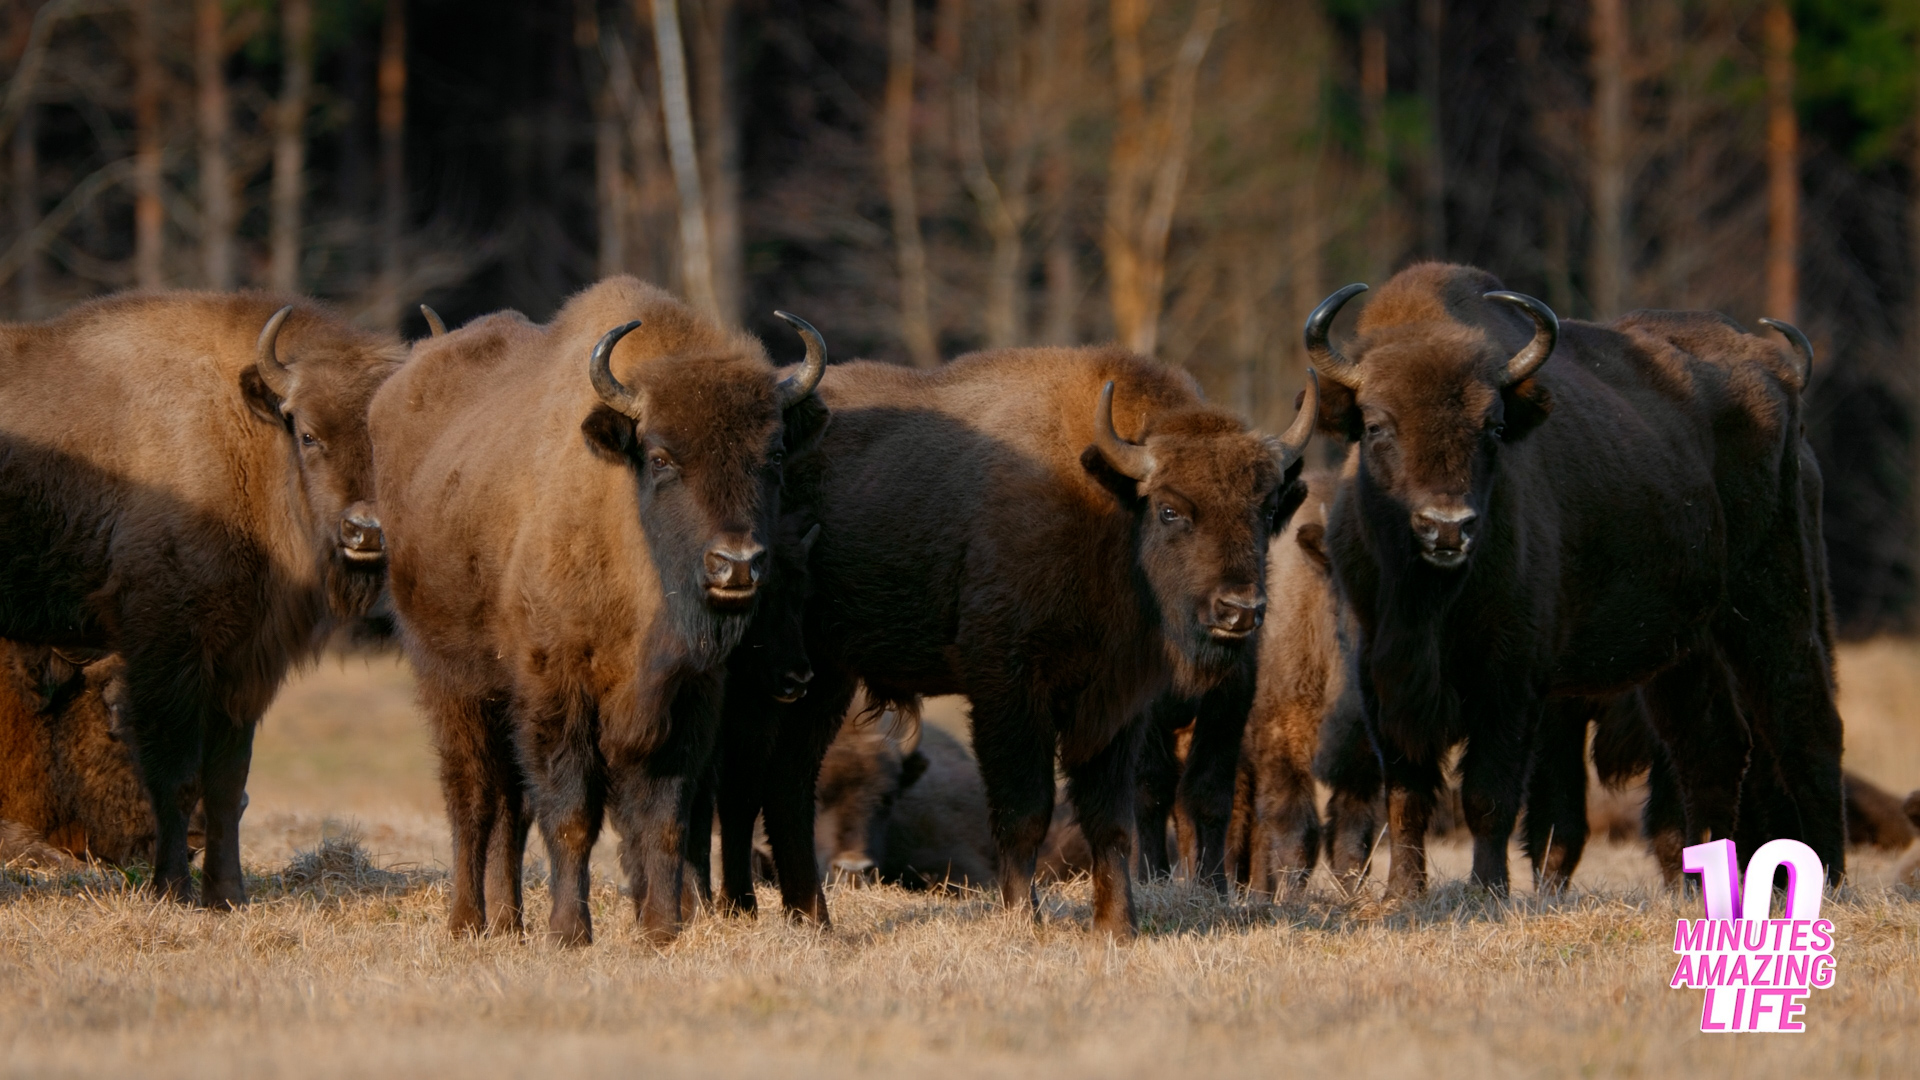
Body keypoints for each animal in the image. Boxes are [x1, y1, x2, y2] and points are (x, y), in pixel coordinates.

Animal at [0, 294, 404, 904]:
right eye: (308, 435)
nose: (365, 531)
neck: (242, 437)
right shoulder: (168, 651)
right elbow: (178, 774)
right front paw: (172, 888)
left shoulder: (242, 664)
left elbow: (226, 783)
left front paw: (228, 893)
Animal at [369, 278, 827, 944]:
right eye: (660, 457)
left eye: (772, 455)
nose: (736, 564)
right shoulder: (556, 687)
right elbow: (572, 814)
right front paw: (570, 932)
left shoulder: (684, 697)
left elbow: (665, 817)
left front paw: (662, 929)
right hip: (451, 682)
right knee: (471, 795)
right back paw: (467, 923)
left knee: (509, 804)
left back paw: (509, 923)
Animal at [720, 345, 1315, 936]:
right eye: (1170, 509)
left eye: (1266, 509)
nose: (1240, 610)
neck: (1106, 503)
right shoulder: (1009, 688)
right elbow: (1025, 810)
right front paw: (1024, 919)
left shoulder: (1113, 704)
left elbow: (1110, 820)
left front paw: (1117, 927)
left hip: (822, 678)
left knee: (789, 780)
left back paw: (813, 920)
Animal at [1307, 262, 1844, 897]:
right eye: (1375, 425)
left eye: (1493, 426)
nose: (1447, 527)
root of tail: (1777, 376)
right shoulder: (1382, 678)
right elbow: (1407, 795)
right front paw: (1403, 895)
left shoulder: (1511, 679)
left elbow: (1489, 796)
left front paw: (1487, 892)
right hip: (1689, 649)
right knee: (1711, 750)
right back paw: (1702, 886)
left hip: (1774, 605)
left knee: (1807, 727)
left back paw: (1829, 878)